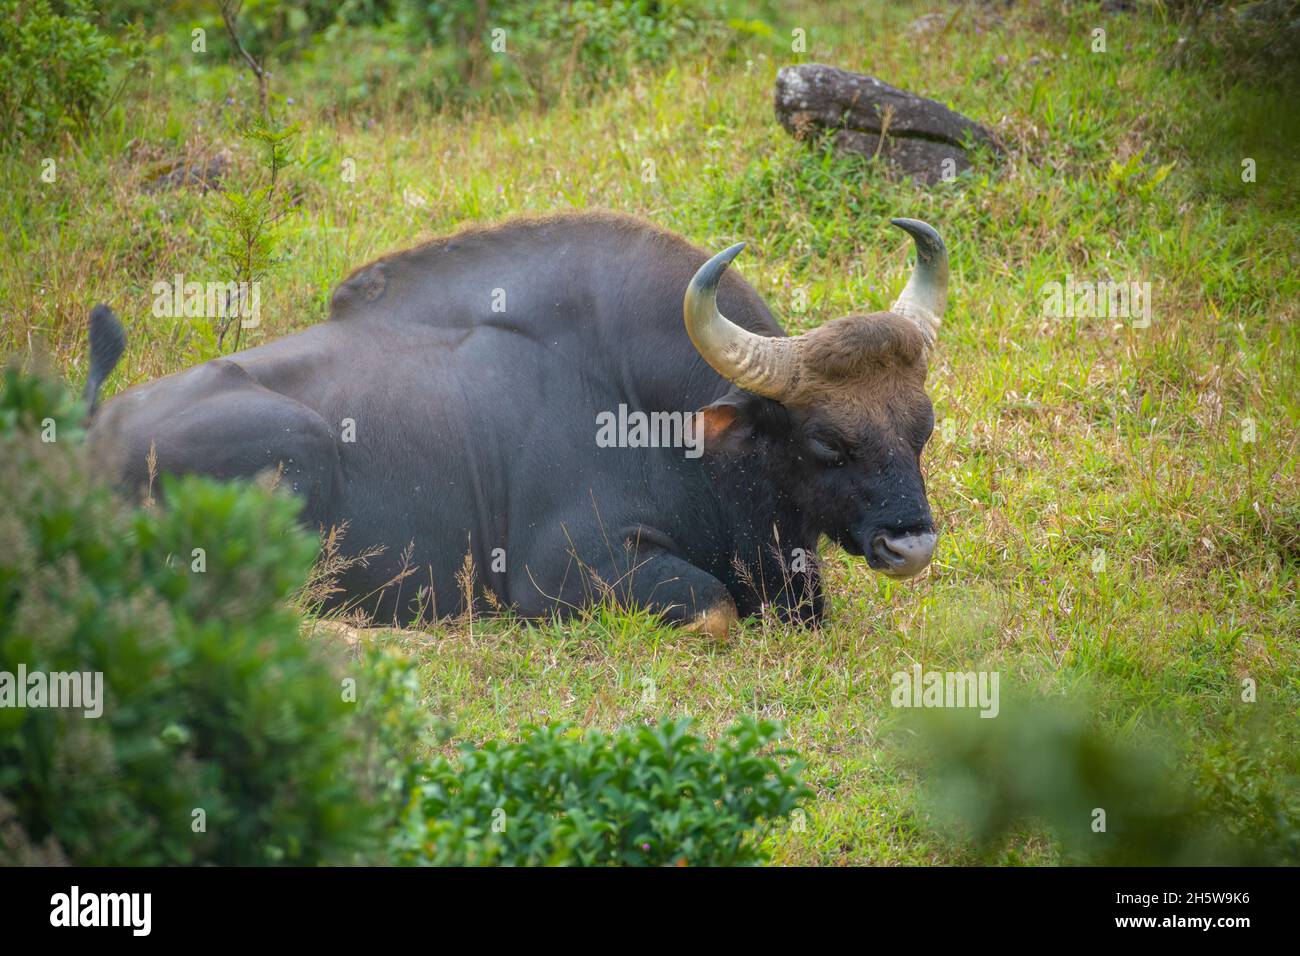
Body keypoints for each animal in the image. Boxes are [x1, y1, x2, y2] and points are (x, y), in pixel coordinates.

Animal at [86, 212, 947, 636]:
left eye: (922, 426)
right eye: (827, 442)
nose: (911, 542)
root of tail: (94, 437)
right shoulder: (565, 571)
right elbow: (716, 612)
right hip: (299, 448)